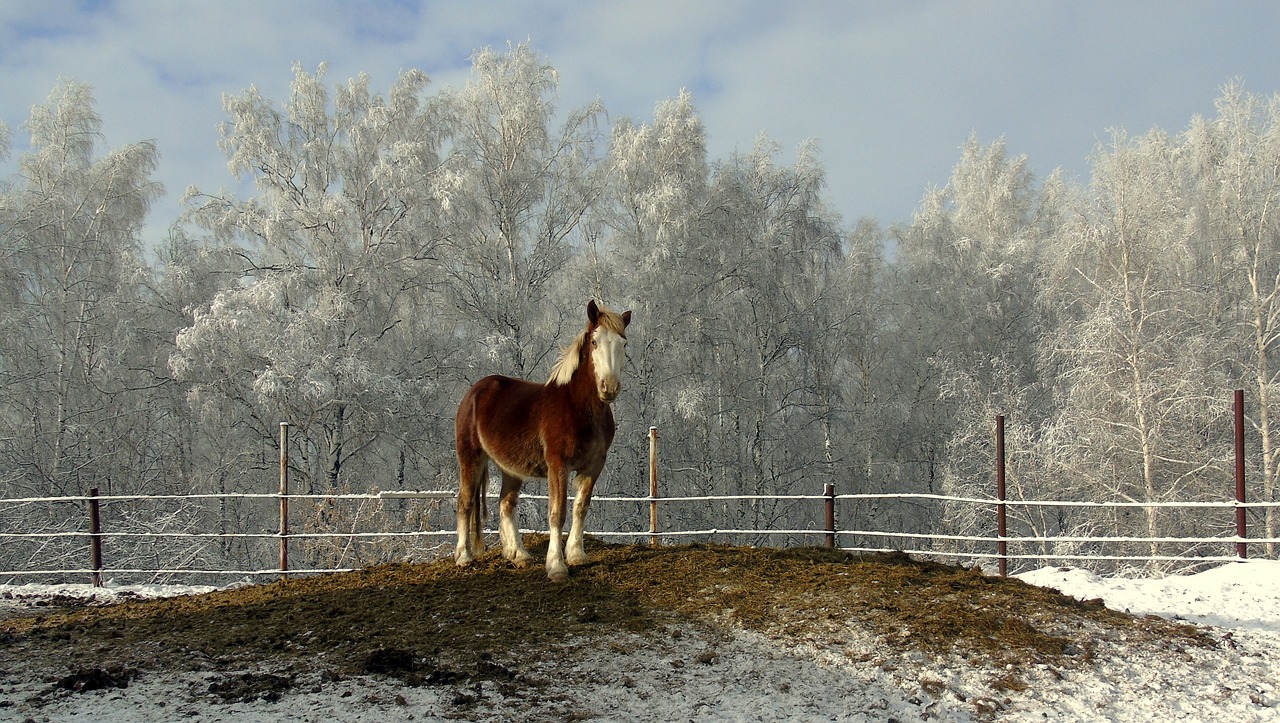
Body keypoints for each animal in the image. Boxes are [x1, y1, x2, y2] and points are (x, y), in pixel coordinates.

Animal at [455, 300, 632, 581]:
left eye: (623, 343)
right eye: (594, 342)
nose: (609, 387)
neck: (578, 407)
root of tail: (475, 391)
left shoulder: (594, 466)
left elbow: (580, 507)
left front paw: (577, 555)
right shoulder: (558, 465)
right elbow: (557, 513)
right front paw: (557, 566)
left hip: (511, 468)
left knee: (506, 504)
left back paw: (518, 555)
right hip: (470, 458)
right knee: (465, 502)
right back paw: (463, 557)